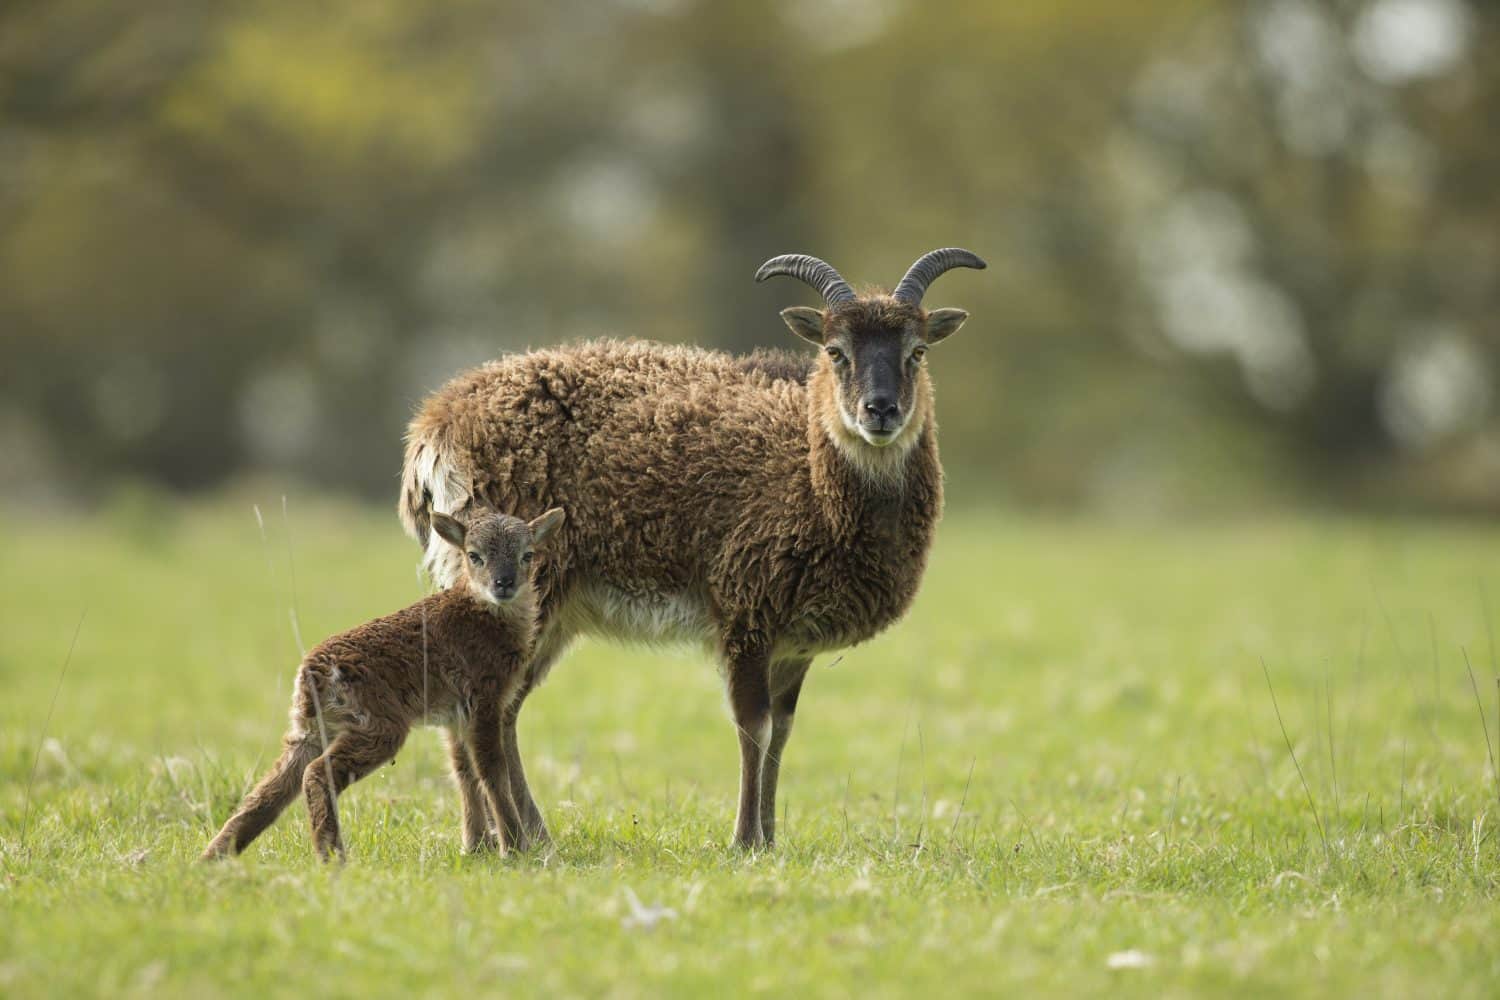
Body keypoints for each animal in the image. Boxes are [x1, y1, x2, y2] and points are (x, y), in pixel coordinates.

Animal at [202, 506, 565, 862]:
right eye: (474, 555)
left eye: (527, 554)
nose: (504, 583)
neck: (484, 613)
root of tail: (312, 675)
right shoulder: (485, 697)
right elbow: (492, 771)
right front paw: (514, 850)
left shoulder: (454, 715)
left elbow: (464, 771)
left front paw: (476, 847)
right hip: (378, 724)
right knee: (317, 774)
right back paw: (333, 858)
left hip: (310, 731)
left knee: (268, 792)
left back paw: (212, 857)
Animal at [398, 248, 985, 849]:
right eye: (835, 351)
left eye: (917, 351)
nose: (880, 410)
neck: (806, 475)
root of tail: (432, 432)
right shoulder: (745, 610)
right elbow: (754, 726)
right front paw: (745, 840)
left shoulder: (794, 643)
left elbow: (783, 730)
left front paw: (771, 838)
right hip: (517, 589)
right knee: (481, 711)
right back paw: (491, 840)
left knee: (502, 710)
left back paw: (522, 836)